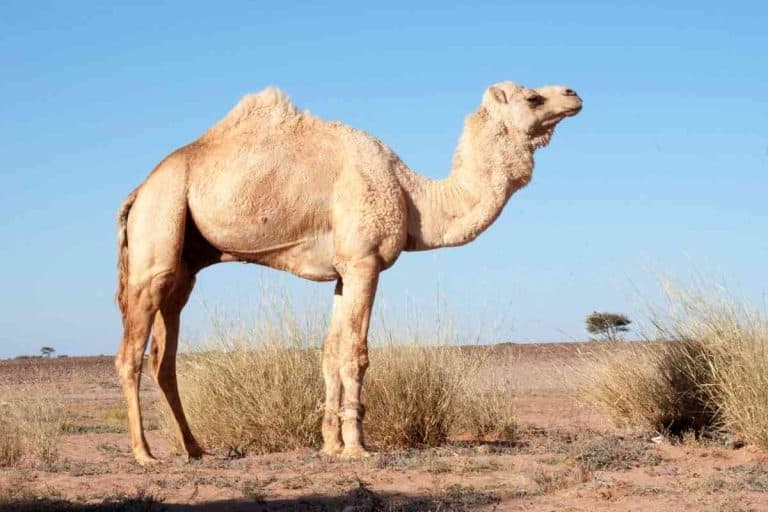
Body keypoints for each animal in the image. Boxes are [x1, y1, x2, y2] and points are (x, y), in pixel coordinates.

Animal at [116, 81, 582, 464]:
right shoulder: (364, 260)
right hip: (158, 229)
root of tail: (139, 190)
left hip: (184, 263)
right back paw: (145, 454)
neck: (412, 196)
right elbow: (356, 353)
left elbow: (330, 352)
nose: (573, 94)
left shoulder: (344, 271)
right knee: (130, 354)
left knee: (163, 357)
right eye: (533, 98)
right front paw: (358, 447)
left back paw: (194, 449)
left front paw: (331, 444)